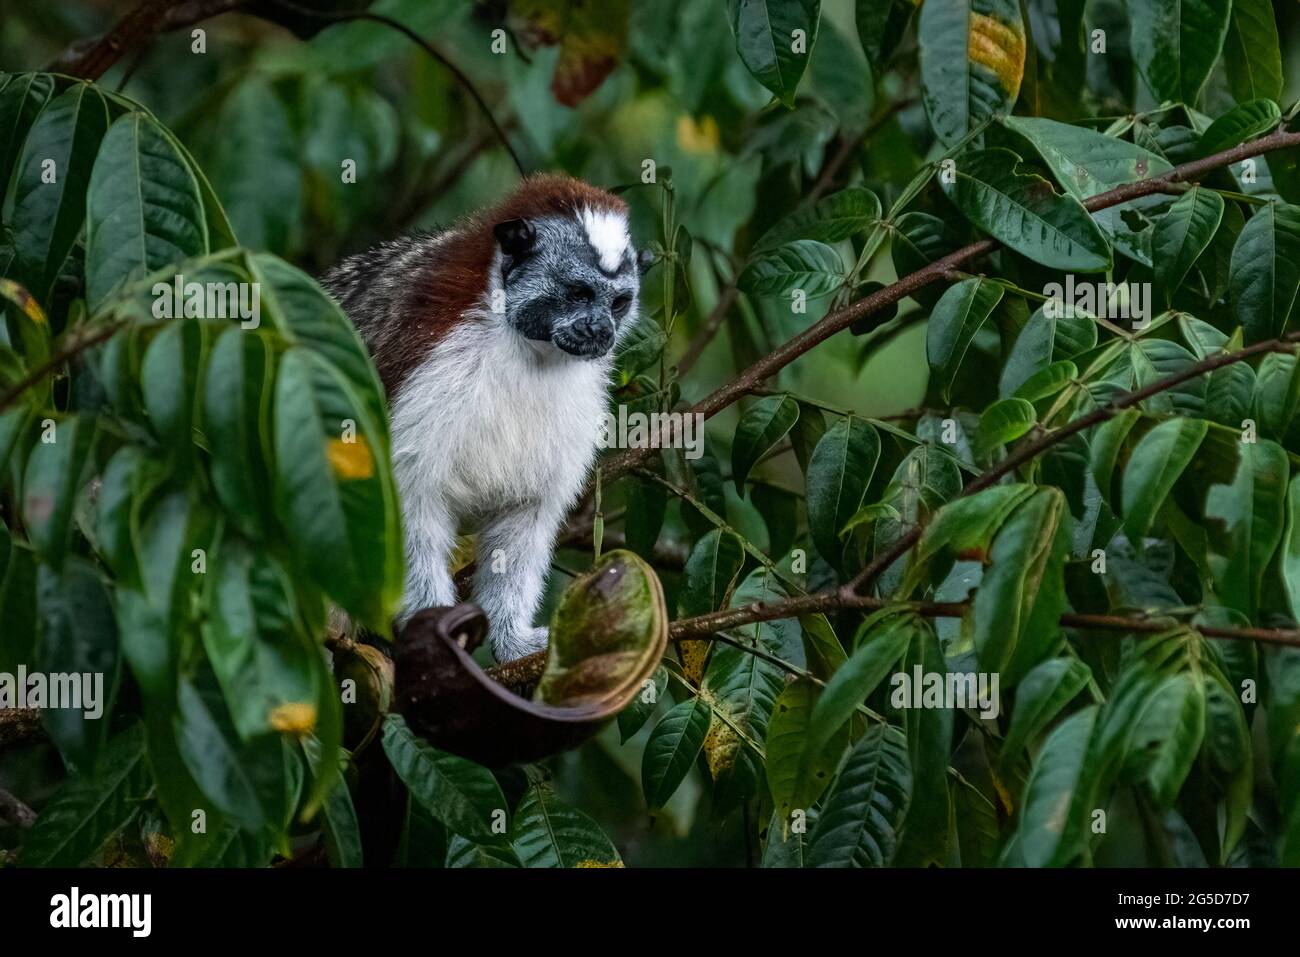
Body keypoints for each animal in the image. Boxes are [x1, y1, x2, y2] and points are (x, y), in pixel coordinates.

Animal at [322, 174, 644, 663]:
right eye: (579, 293)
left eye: (619, 302)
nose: (602, 329)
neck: (527, 348)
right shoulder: (430, 363)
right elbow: (404, 501)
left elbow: (524, 514)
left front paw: (512, 639)